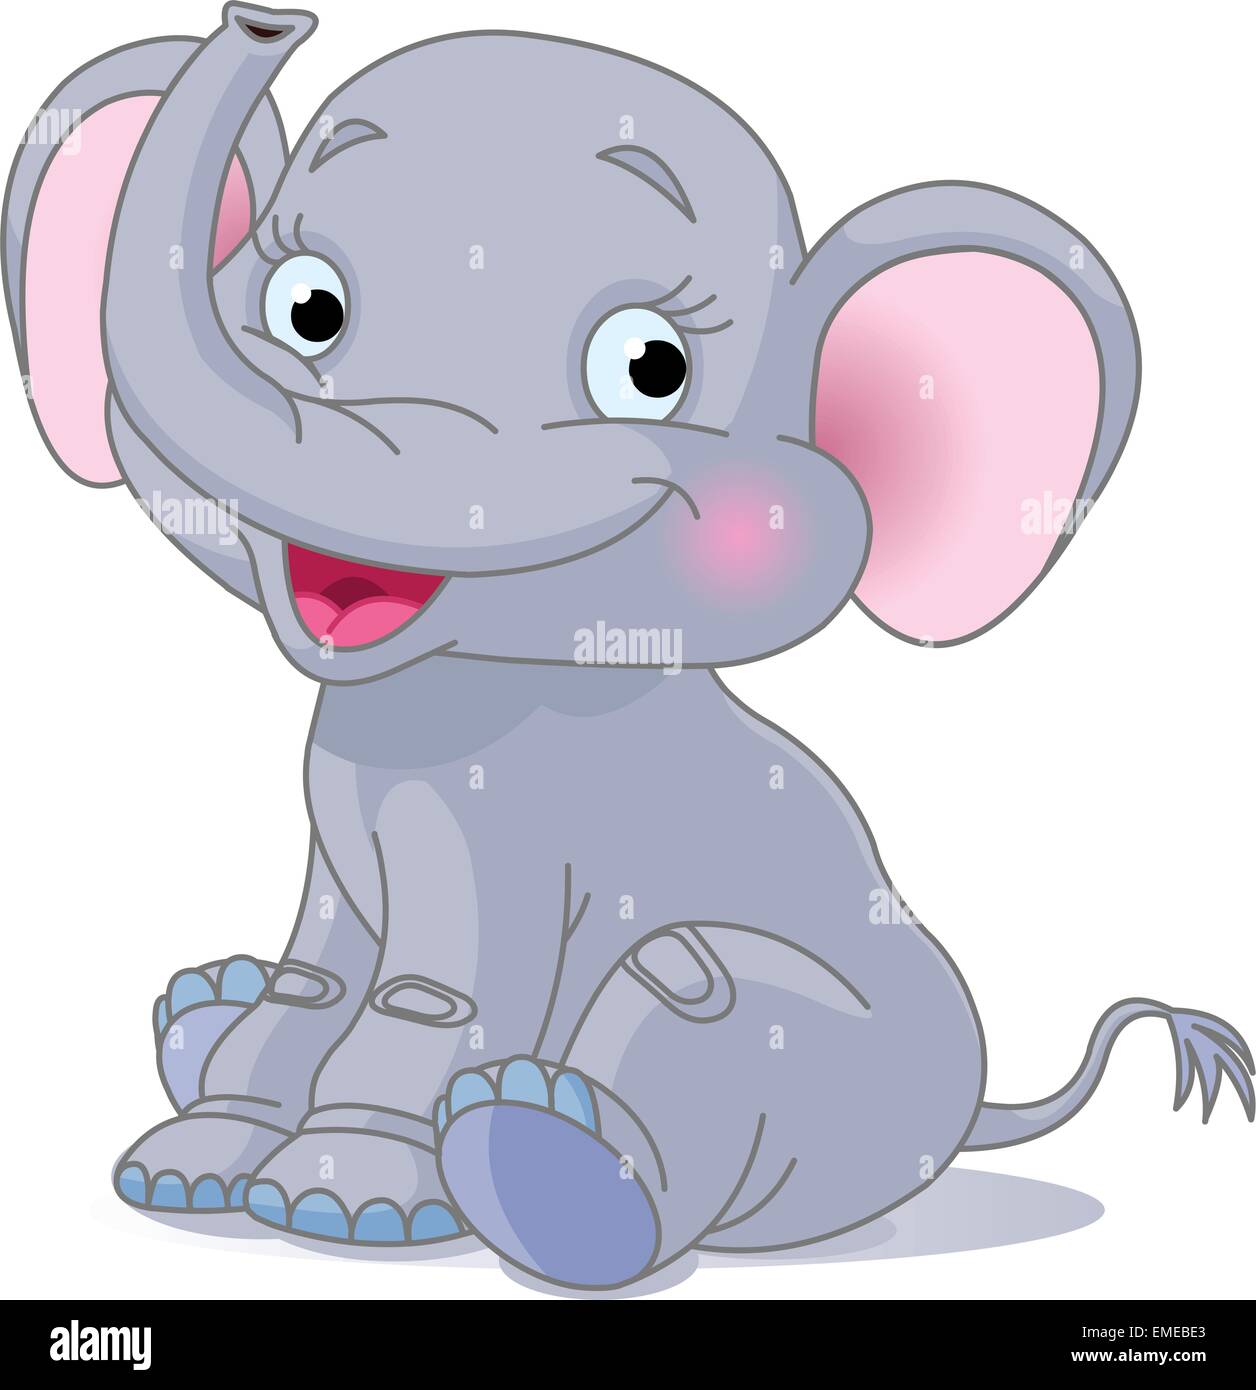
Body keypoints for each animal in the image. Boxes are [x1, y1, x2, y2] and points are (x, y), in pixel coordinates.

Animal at [5, 3, 1252, 1292]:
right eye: (306, 305)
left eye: (648, 368)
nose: (268, 21)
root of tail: (978, 1109)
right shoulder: (335, 831)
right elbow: (315, 977)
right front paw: (190, 1170)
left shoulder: (509, 834)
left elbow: (433, 988)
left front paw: (339, 1202)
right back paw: (202, 1011)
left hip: (853, 1060)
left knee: (694, 982)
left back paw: (540, 1161)